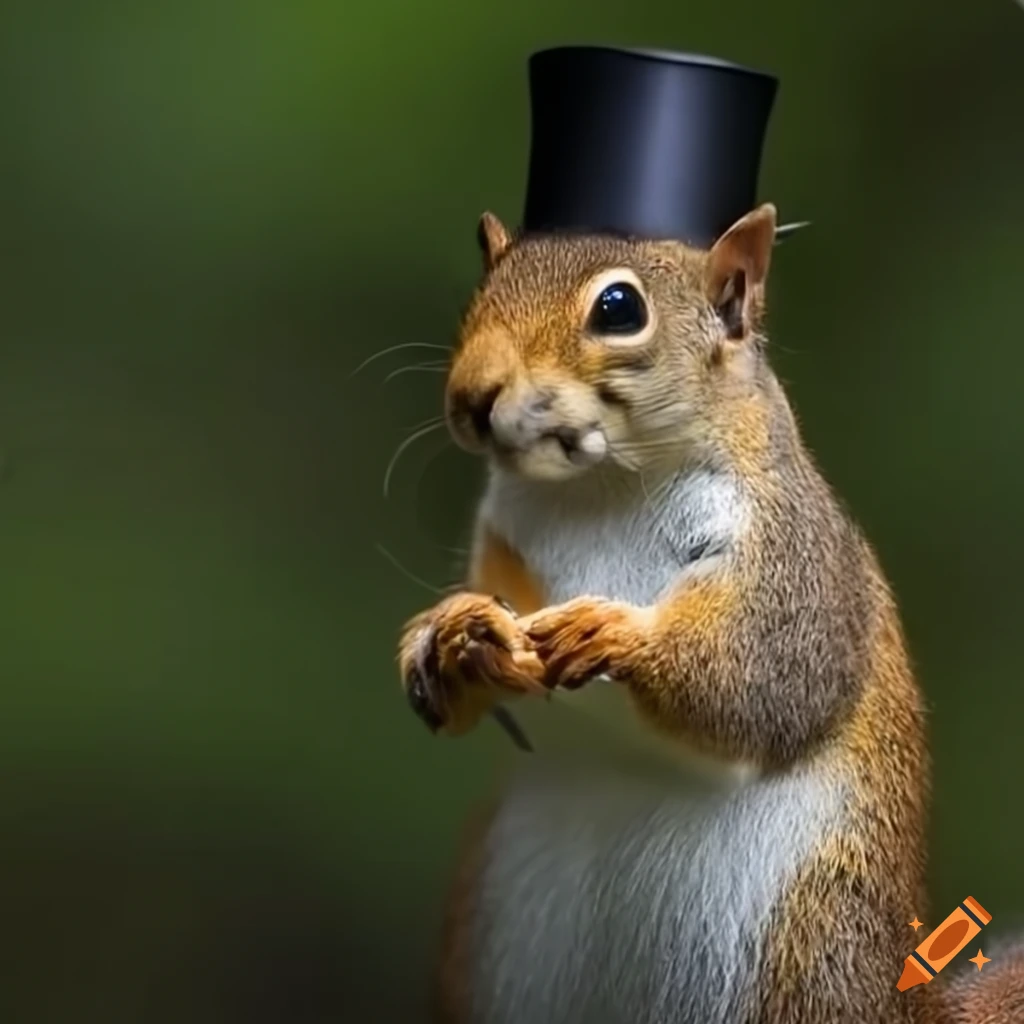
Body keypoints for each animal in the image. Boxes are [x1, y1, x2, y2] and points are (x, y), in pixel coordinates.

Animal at [396, 203, 1024, 1023]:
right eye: (484, 287)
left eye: (619, 309)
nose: (471, 395)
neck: (600, 489)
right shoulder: (506, 545)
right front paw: (450, 637)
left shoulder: (791, 561)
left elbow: (761, 679)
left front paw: (617, 633)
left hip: (808, 955)